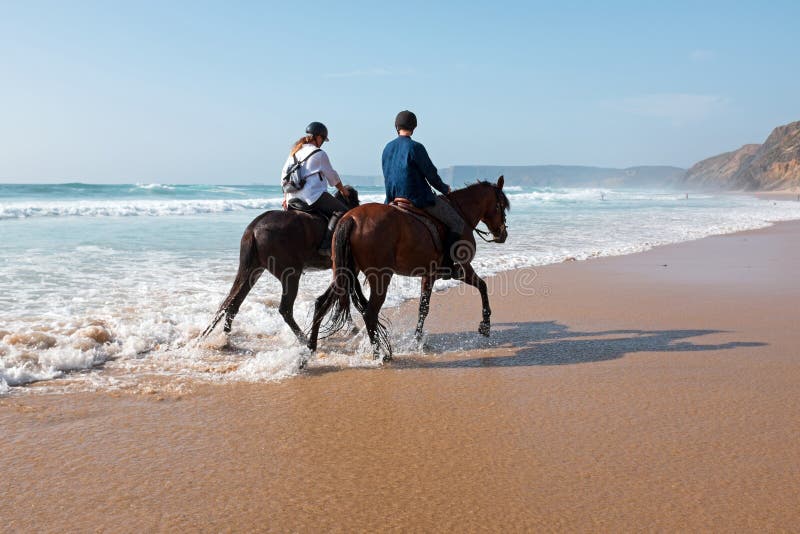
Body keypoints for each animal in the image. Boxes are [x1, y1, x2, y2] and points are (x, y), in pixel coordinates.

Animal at [200, 187, 360, 342]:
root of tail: (254, 227)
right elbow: (343, 293)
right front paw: (351, 326)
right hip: (290, 274)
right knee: (285, 309)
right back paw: (303, 339)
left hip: (252, 270)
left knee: (233, 303)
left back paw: (225, 337)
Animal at [306, 176, 509, 361]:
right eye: (501, 206)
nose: (503, 234)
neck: (461, 213)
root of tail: (351, 218)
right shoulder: (462, 268)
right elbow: (483, 286)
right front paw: (485, 325)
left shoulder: (429, 275)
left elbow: (423, 308)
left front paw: (418, 341)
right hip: (380, 278)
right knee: (369, 313)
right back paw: (379, 354)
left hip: (345, 272)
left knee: (322, 303)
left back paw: (310, 349)